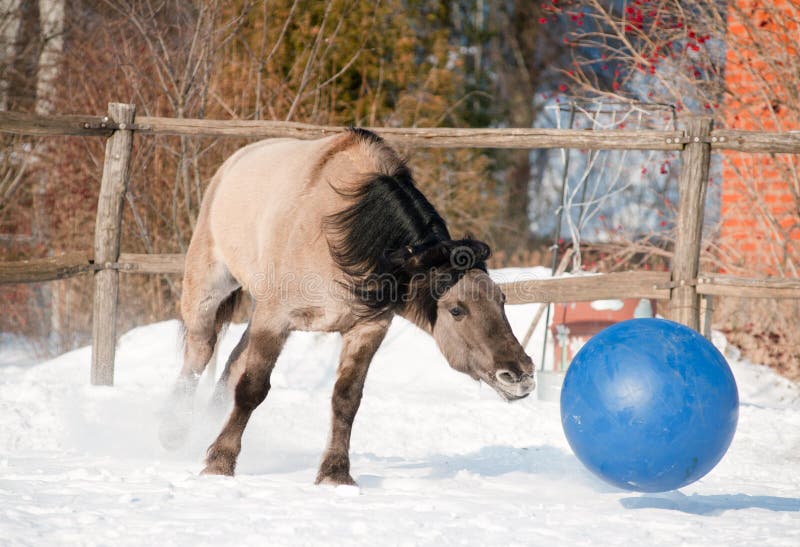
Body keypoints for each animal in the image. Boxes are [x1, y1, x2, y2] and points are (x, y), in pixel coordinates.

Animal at [161, 128, 535, 486]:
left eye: (502, 301)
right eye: (457, 310)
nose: (520, 375)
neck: (340, 233)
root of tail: (236, 160)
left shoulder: (366, 329)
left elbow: (347, 399)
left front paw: (335, 473)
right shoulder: (275, 319)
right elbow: (253, 389)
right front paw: (220, 463)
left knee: (233, 360)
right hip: (209, 289)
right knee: (199, 354)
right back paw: (175, 434)